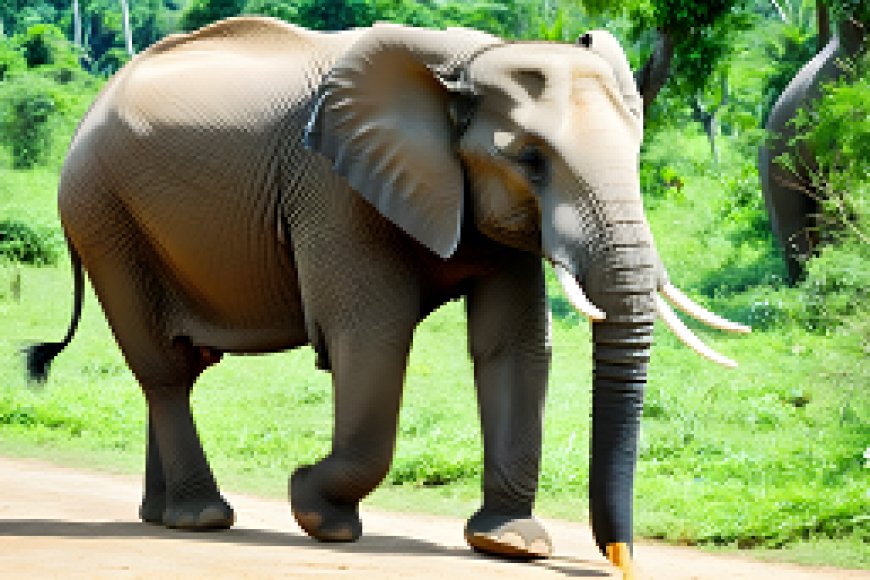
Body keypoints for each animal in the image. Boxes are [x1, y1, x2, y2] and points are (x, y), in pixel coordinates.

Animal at [26, 17, 748, 570]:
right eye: (530, 160)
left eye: (636, 151)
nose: (621, 560)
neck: (464, 67)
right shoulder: (333, 187)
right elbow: (371, 337)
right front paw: (315, 511)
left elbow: (512, 346)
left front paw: (510, 545)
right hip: (100, 213)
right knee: (165, 370)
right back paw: (202, 518)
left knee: (185, 365)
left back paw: (165, 516)